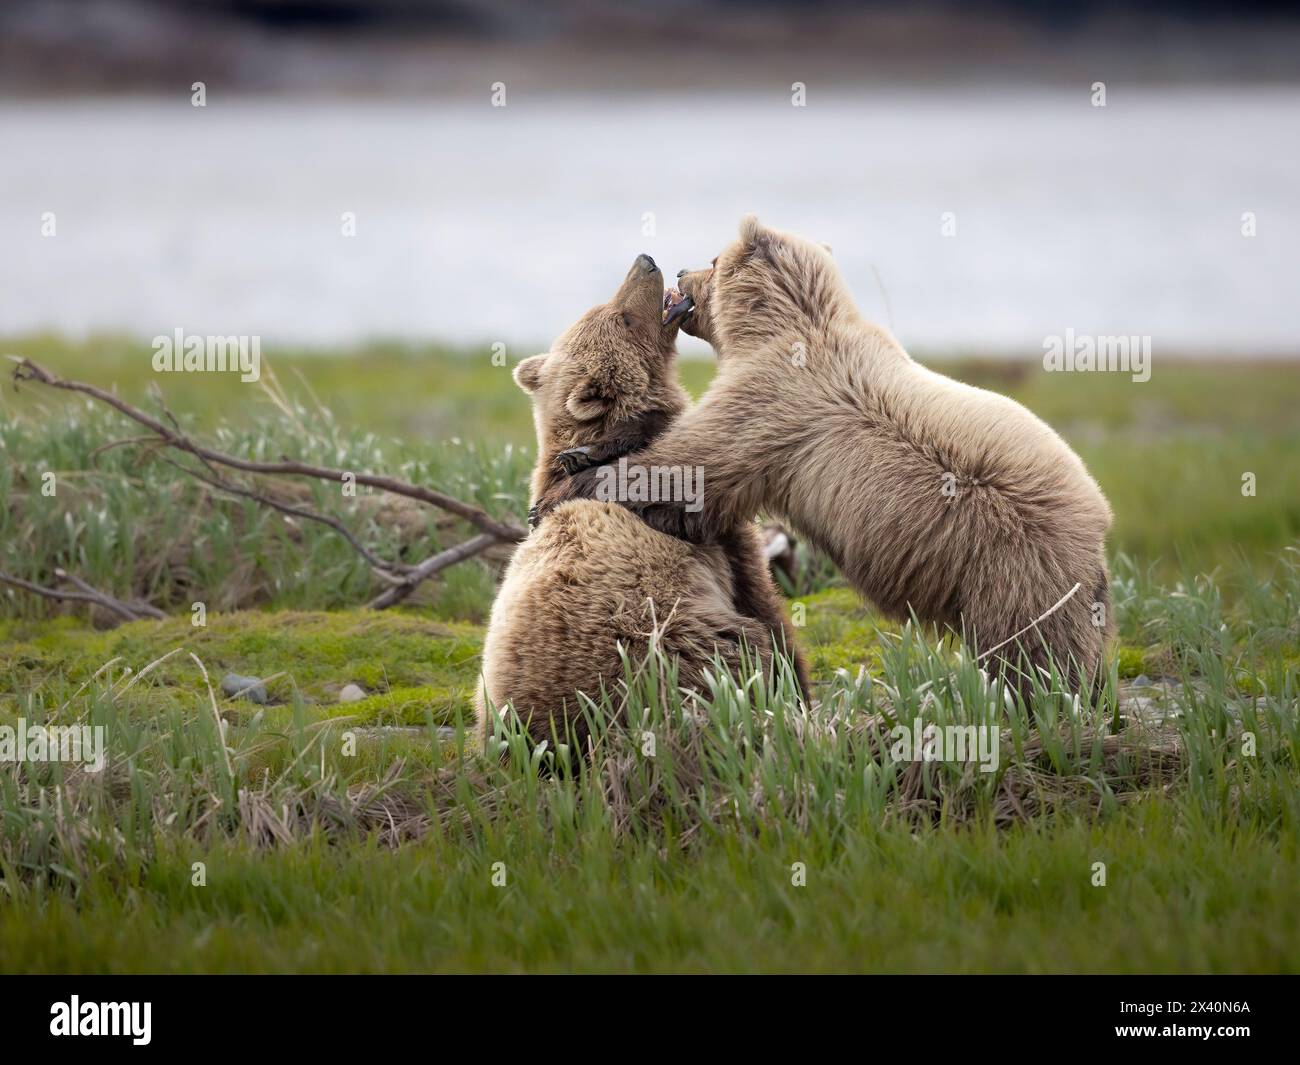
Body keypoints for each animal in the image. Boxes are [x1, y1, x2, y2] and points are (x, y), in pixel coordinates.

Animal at [476, 252, 808, 754]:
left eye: (607, 305)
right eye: (623, 317)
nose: (646, 262)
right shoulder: (703, 524)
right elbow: (759, 593)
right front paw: (798, 681)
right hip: (672, 644)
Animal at [546, 218, 1114, 697]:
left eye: (713, 256)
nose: (684, 272)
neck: (789, 322)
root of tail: (1099, 514)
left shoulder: (770, 405)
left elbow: (692, 467)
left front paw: (575, 480)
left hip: (1013, 565)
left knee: (1034, 649)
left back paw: (1043, 700)